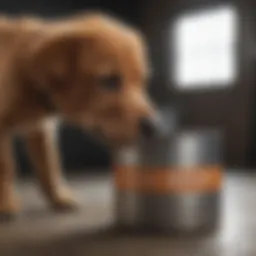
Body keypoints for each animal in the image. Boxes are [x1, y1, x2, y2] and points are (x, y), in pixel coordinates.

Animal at [0, 12, 157, 216]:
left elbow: (49, 164)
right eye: (109, 81)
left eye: (142, 82)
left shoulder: (41, 128)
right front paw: (5, 203)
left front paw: (59, 197)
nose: (154, 126)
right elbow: (6, 167)